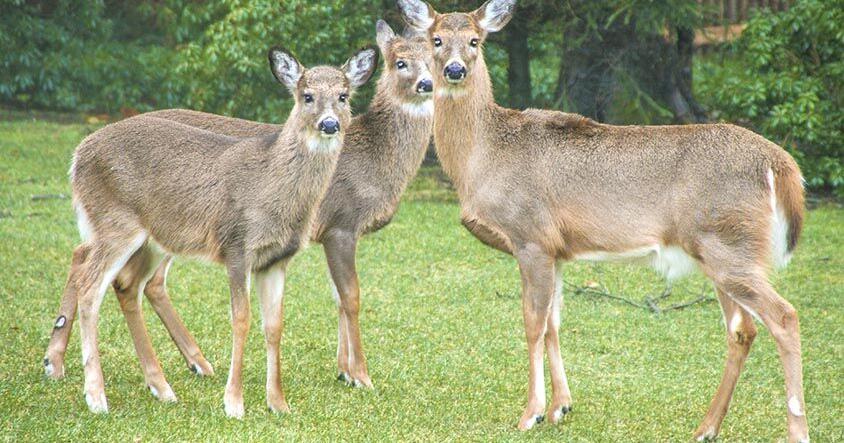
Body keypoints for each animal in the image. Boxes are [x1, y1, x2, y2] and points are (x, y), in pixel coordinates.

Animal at [43, 22, 433, 394]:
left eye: (435, 56)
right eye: (400, 62)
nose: (428, 83)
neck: (374, 159)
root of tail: (78, 155)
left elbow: (336, 296)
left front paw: (343, 370)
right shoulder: (341, 224)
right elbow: (350, 297)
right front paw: (360, 375)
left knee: (100, 263)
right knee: (111, 271)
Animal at [397, 0, 808, 441]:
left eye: (475, 40)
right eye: (436, 39)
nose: (455, 70)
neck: (483, 157)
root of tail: (781, 165)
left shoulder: (530, 237)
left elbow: (532, 324)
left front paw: (531, 413)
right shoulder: (556, 250)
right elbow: (554, 323)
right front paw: (561, 407)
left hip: (729, 245)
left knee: (784, 316)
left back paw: (794, 429)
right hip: (722, 250)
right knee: (742, 329)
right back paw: (706, 427)